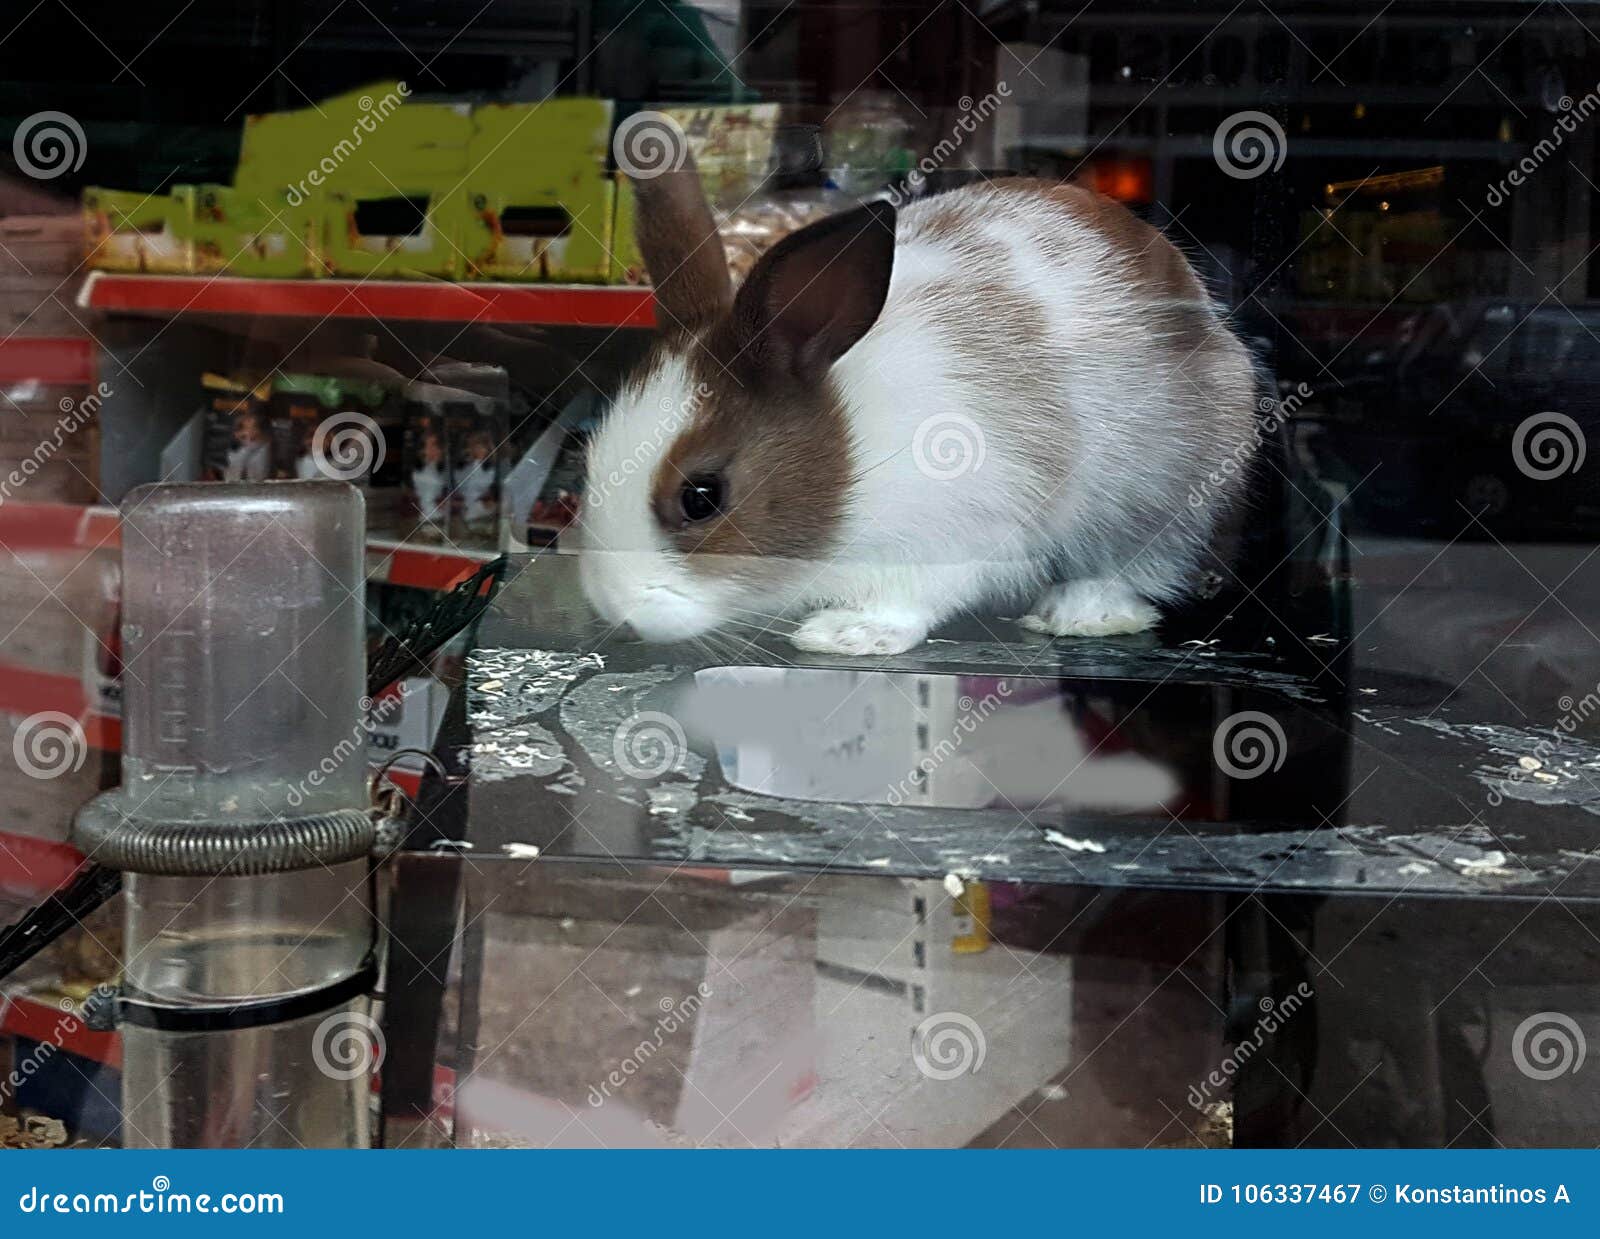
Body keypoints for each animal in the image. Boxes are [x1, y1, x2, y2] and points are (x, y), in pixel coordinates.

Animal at [578, 166, 1258, 656]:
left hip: (1161, 496)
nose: (616, 610)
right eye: (588, 462)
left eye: (701, 497)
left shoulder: (959, 531)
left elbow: (910, 599)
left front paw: (849, 634)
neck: (853, 455)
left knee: (1142, 566)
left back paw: (1079, 613)